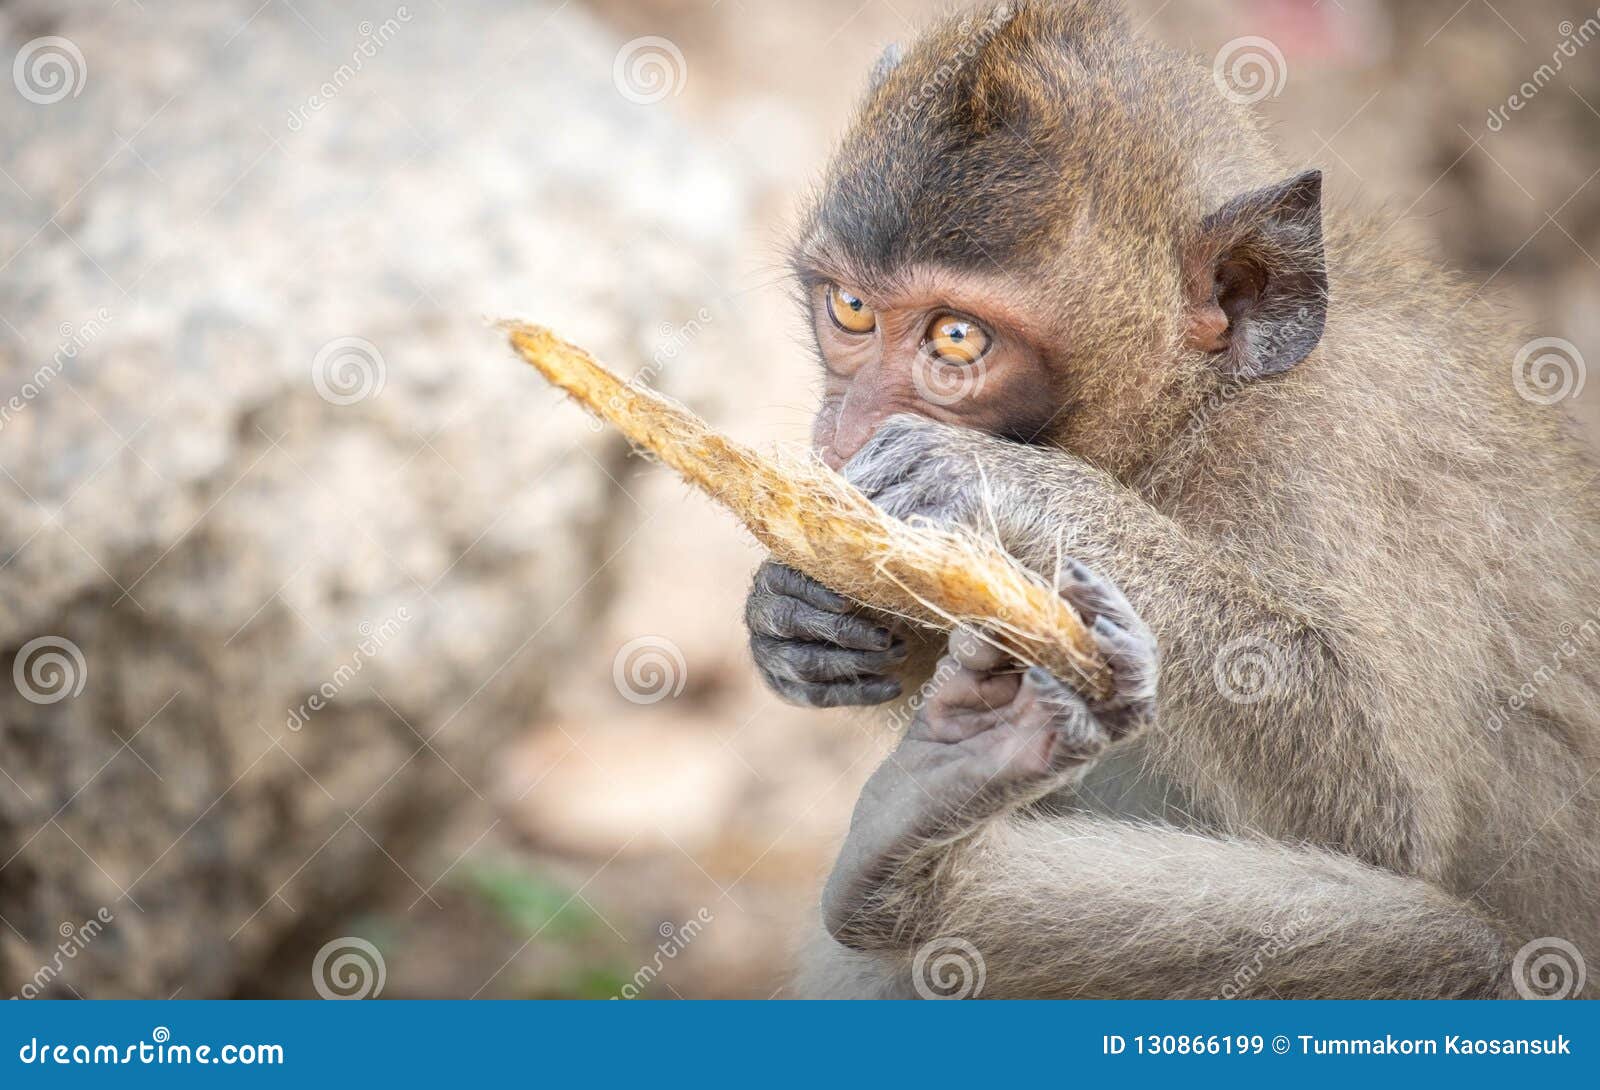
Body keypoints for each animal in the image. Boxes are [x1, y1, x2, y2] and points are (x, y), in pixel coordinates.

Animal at [742, 0, 1600, 998]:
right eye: (849, 309)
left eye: (956, 340)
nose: (841, 437)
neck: (1195, 416)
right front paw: (798, 613)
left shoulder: (1318, 456)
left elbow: (1388, 817)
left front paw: (977, 480)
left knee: (1461, 948)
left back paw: (912, 872)